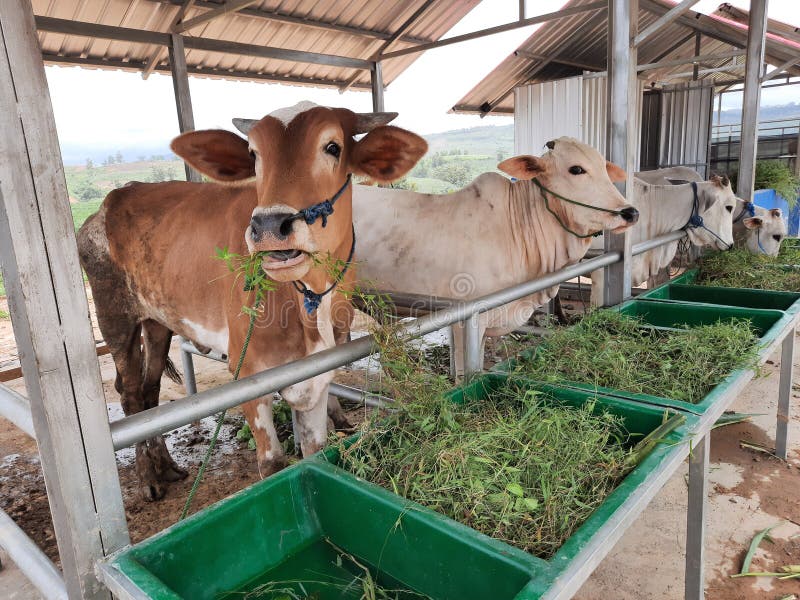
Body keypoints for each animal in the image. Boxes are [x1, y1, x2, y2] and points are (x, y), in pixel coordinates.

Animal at [77, 102, 427, 500]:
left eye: (333, 147)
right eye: (254, 154)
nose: (270, 227)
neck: (309, 307)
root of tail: (112, 199)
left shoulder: (322, 367)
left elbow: (315, 452)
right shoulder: (247, 372)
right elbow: (272, 463)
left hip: (157, 321)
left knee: (150, 391)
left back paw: (166, 467)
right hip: (114, 315)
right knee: (132, 394)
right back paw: (149, 478)